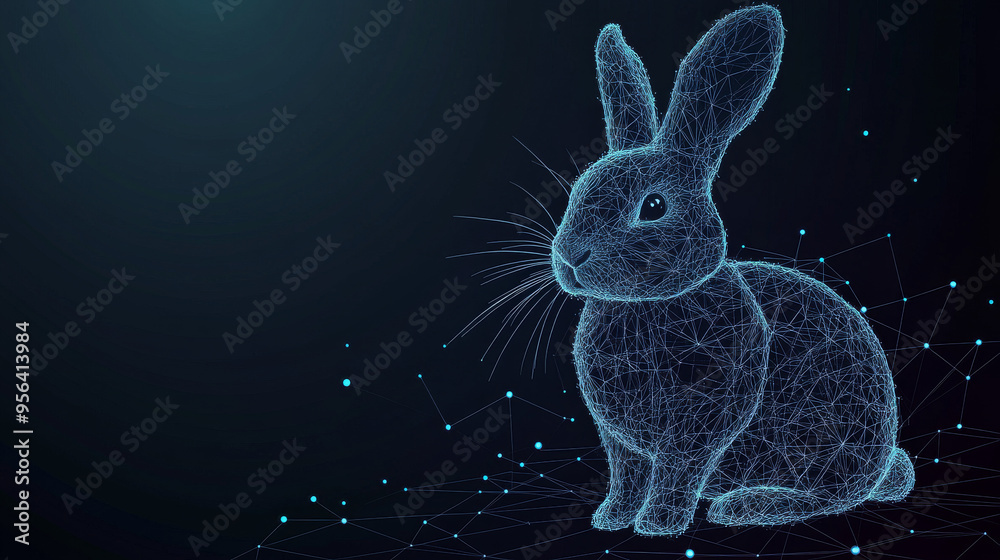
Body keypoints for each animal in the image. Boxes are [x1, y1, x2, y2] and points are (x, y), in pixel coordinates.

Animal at [550, 5, 914, 536]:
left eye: (653, 206)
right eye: (579, 189)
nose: (570, 257)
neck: (648, 302)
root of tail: (881, 461)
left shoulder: (699, 430)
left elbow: (675, 476)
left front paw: (659, 524)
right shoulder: (621, 442)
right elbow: (627, 478)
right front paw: (610, 519)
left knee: (827, 497)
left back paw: (744, 506)